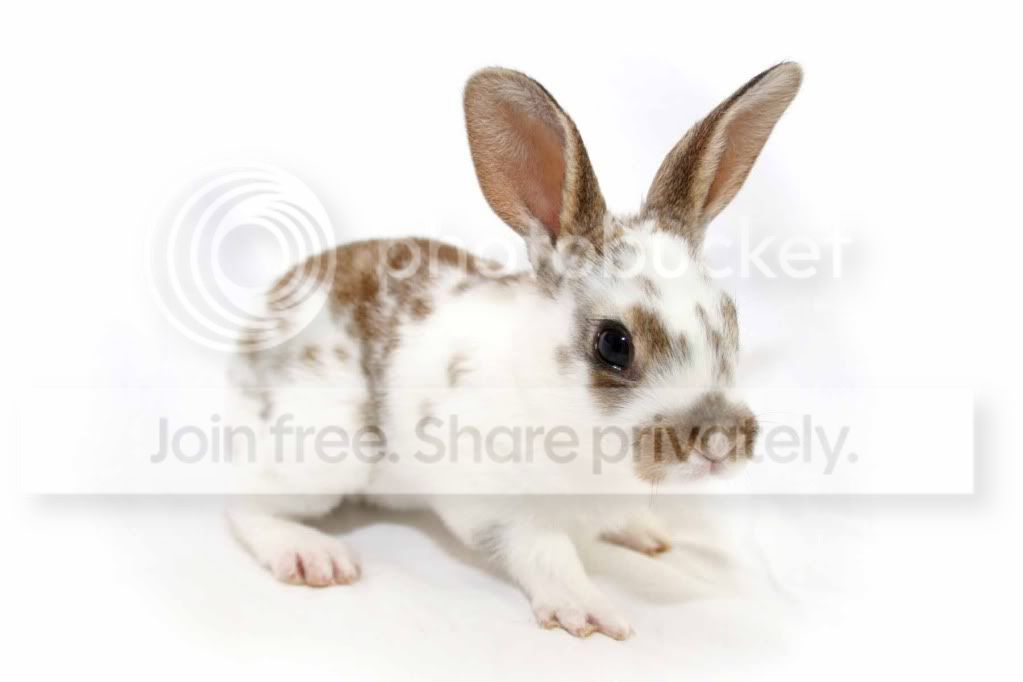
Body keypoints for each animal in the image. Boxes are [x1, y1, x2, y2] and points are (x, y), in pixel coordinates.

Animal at [225, 62, 802, 640]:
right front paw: (585, 610)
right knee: (248, 500)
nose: (720, 441)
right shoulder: (497, 505)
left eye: (730, 318)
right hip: (325, 452)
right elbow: (545, 553)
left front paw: (645, 533)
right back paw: (311, 556)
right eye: (614, 344)